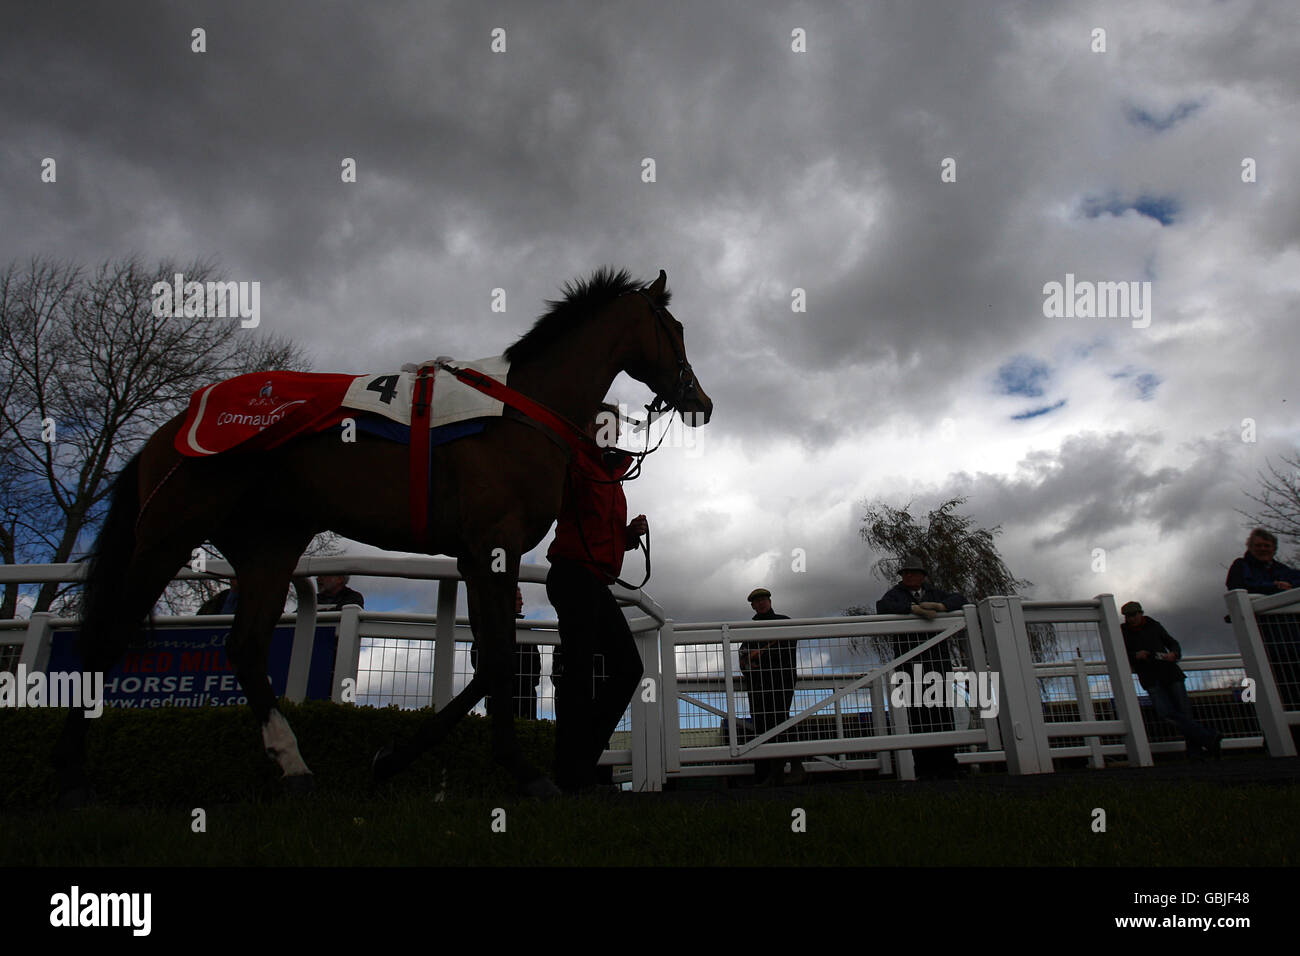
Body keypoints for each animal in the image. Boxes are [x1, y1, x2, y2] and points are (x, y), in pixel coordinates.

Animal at [56, 267, 712, 803]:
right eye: (676, 327)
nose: (700, 400)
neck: (523, 408)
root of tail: (169, 428)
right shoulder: (491, 548)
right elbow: (499, 661)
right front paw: (521, 773)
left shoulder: (477, 556)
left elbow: (488, 663)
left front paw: (393, 758)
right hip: (168, 533)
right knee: (105, 640)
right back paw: (74, 778)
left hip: (270, 545)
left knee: (244, 647)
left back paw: (294, 766)